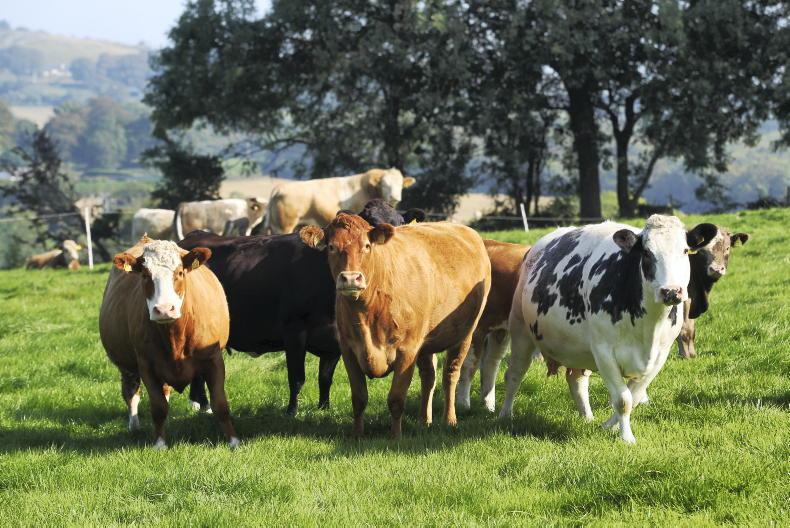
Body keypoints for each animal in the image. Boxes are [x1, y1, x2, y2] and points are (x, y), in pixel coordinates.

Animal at [99, 236, 238, 449]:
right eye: (145, 275)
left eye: (179, 272)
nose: (164, 309)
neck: (176, 336)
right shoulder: (146, 365)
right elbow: (158, 407)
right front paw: (160, 444)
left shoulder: (213, 359)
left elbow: (220, 403)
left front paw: (233, 441)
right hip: (127, 367)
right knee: (131, 393)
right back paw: (134, 426)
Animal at [183, 199, 419, 415]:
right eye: (369, 225)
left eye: (400, 225)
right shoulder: (294, 330)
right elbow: (297, 377)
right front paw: (292, 412)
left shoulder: (335, 339)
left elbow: (325, 378)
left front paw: (324, 408)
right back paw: (202, 404)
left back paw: (201, 404)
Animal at [299, 213, 491, 439]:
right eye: (331, 247)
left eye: (366, 246)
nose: (350, 278)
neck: (368, 310)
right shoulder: (348, 350)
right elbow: (359, 398)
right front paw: (357, 435)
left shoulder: (407, 350)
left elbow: (396, 399)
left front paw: (395, 437)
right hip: (425, 342)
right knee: (429, 376)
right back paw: (424, 421)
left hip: (464, 334)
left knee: (450, 375)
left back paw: (449, 419)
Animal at [457, 239, 530, 412]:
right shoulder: (476, 329)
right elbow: (468, 365)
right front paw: (462, 404)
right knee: (474, 364)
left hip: (499, 330)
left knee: (491, 363)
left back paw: (488, 405)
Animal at [499, 215, 718, 443]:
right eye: (647, 253)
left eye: (685, 250)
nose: (671, 291)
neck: (648, 327)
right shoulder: (603, 351)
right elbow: (623, 399)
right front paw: (626, 438)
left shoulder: (660, 355)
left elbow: (635, 396)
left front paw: (607, 426)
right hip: (521, 330)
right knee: (514, 374)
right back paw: (506, 415)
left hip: (579, 348)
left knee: (577, 381)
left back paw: (587, 417)